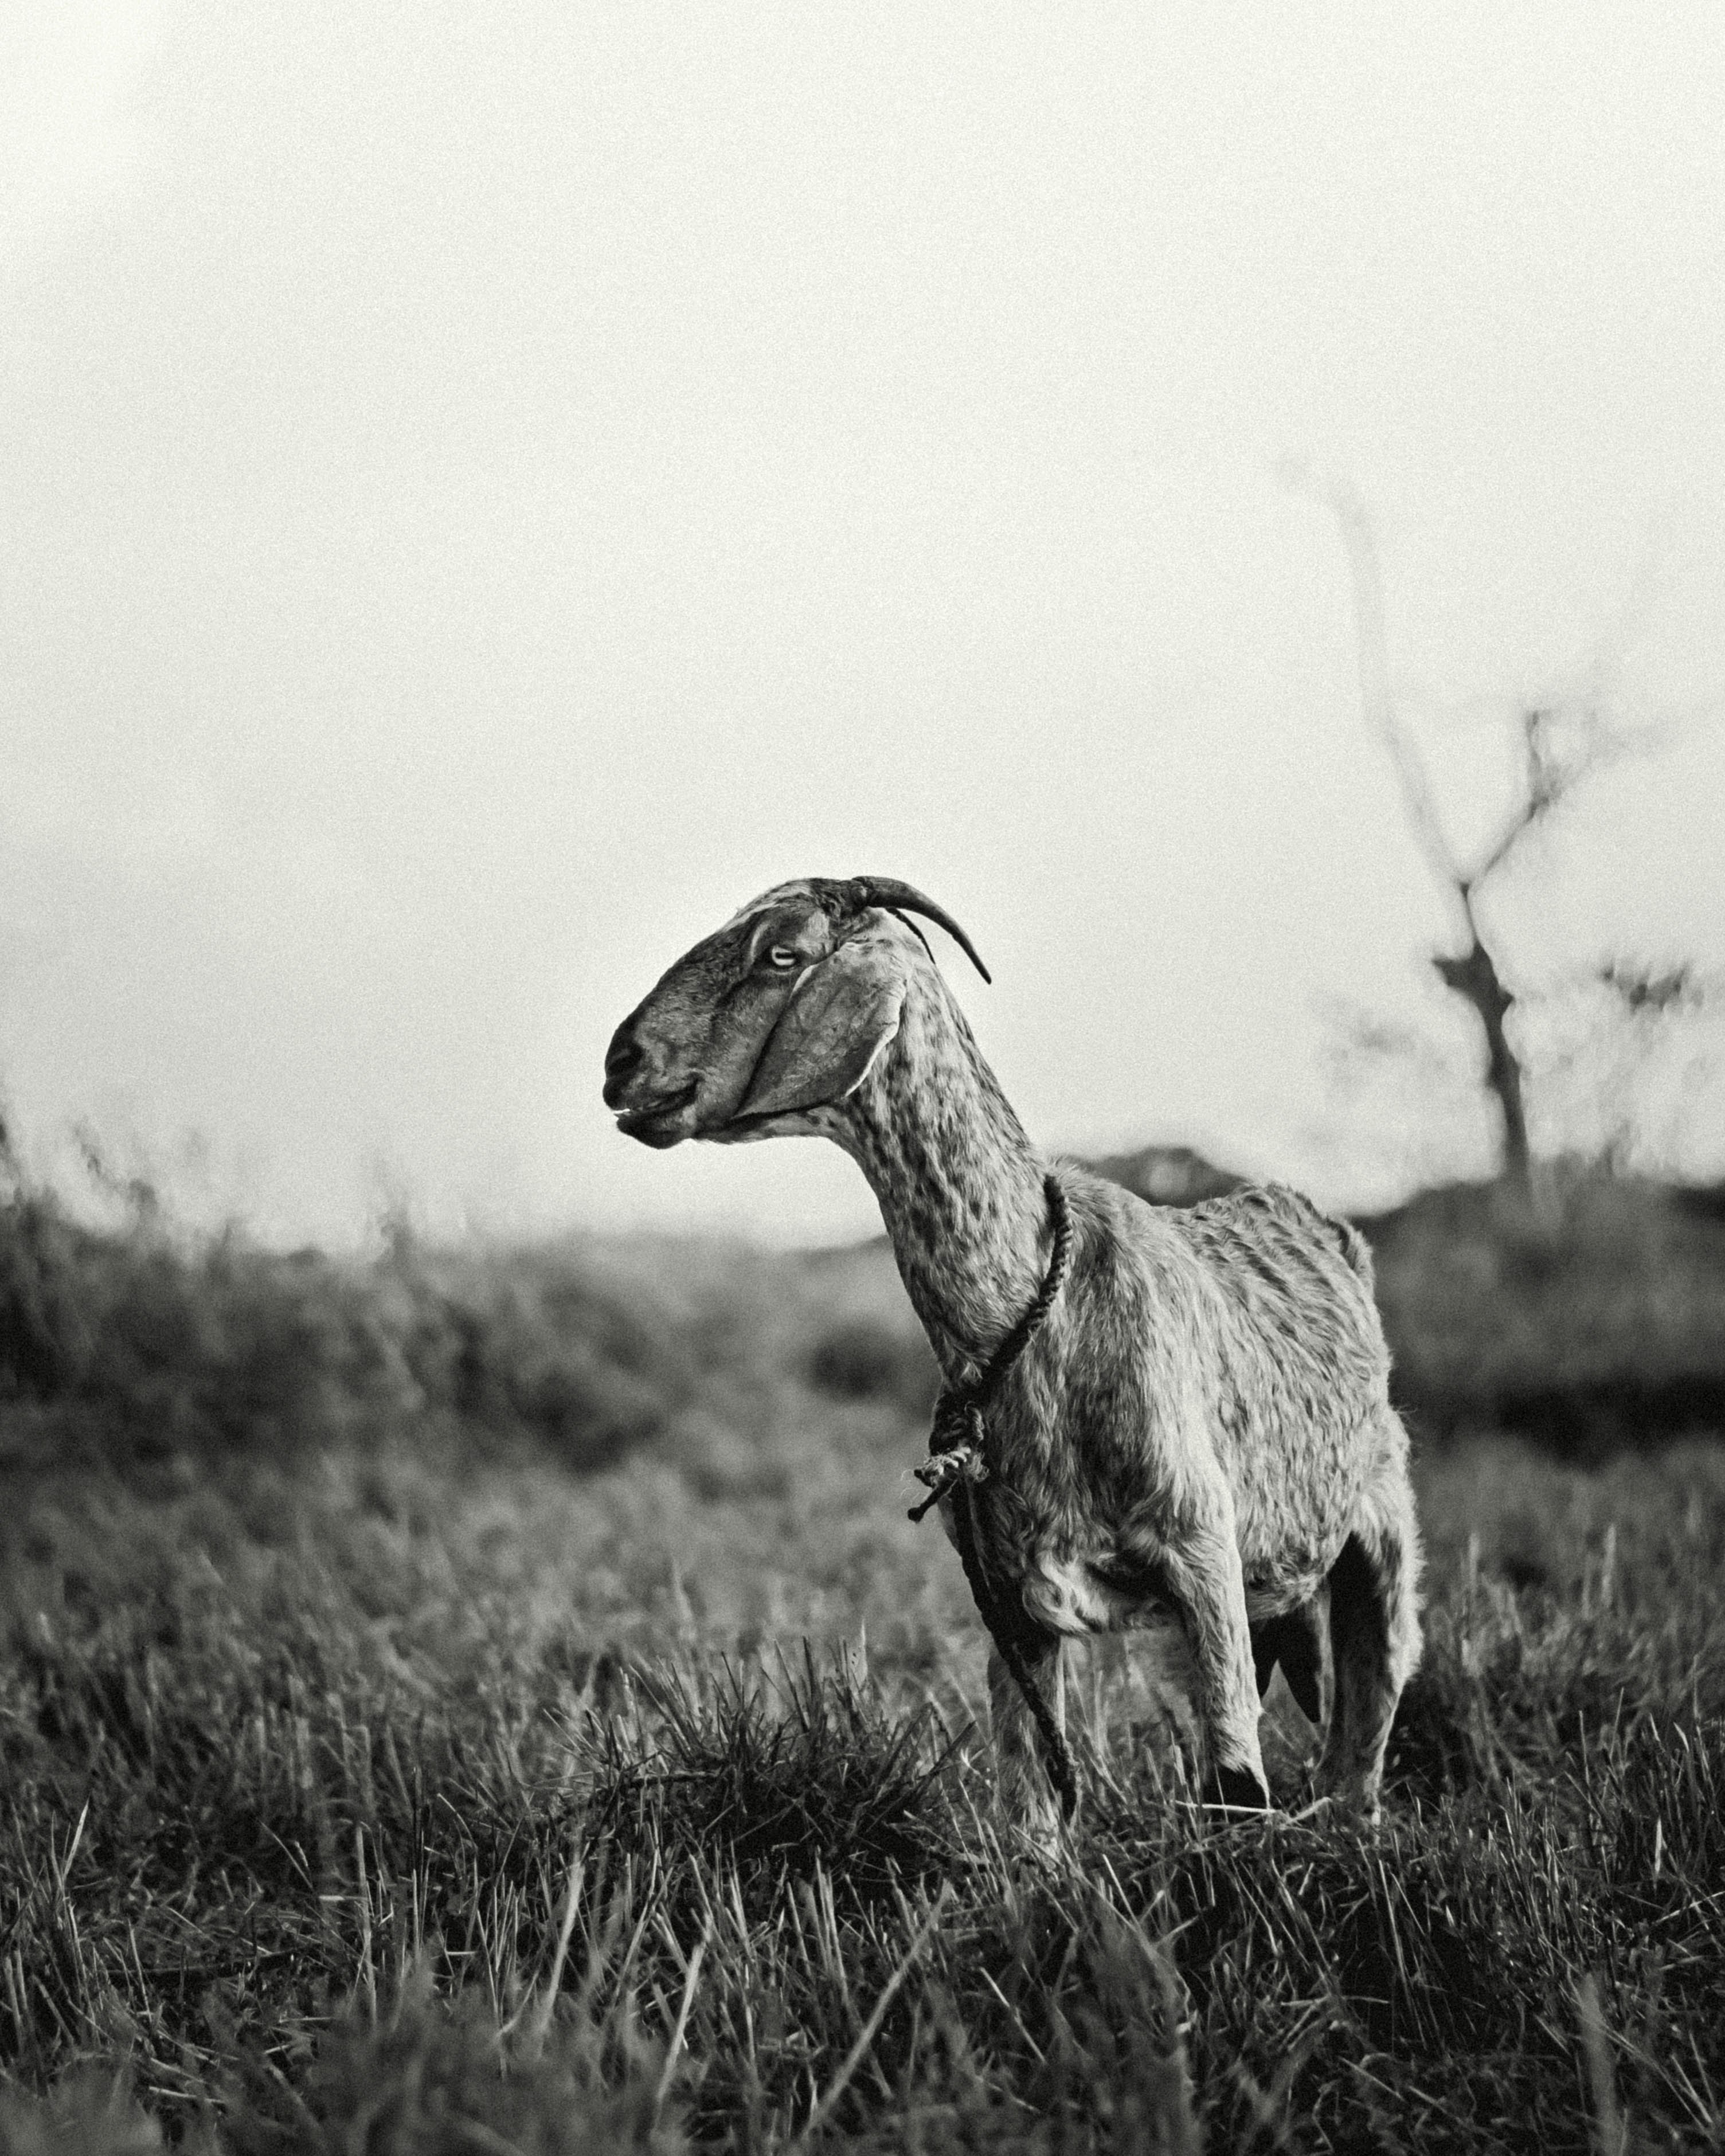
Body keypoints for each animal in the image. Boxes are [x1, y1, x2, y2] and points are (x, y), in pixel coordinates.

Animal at [603, 875, 1422, 1841]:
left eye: (781, 953)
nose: (622, 1060)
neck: (1033, 1318)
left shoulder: (1202, 1547)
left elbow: (1233, 1776)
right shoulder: (1007, 1595)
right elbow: (1029, 1797)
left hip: (1378, 1529)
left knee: (1363, 1725)